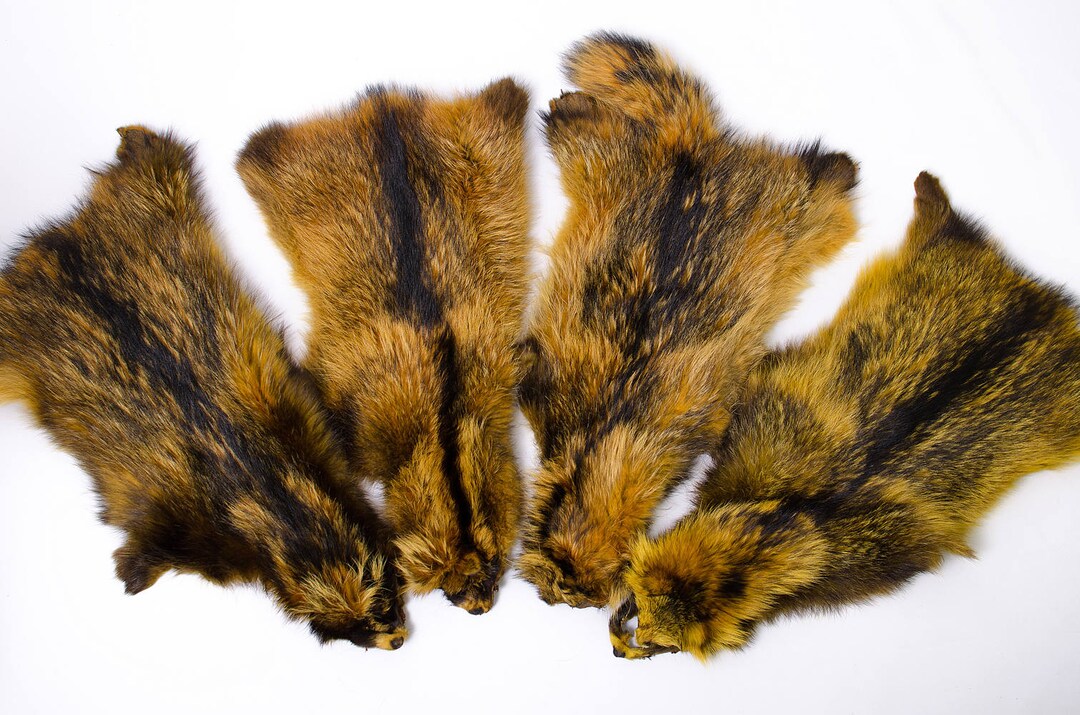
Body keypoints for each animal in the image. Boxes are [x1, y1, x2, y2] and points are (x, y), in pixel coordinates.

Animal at [0, 127, 407, 649]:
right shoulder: (190, 526)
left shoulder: (302, 419)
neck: (279, 502)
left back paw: (134, 139)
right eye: (352, 630)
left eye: (385, 587)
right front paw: (132, 573)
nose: (397, 638)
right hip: (17, 339)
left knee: (154, 161)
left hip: (153, 205)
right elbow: (151, 544)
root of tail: (52, 250)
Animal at [517, 33, 859, 608]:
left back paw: (839, 167)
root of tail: (693, 145)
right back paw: (570, 105)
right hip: (609, 164)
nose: (561, 596)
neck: (601, 438)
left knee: (818, 182)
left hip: (789, 211)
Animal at [611, 172, 1080, 660]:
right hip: (944, 257)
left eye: (666, 647)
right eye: (637, 600)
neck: (787, 516)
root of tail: (1041, 301)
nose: (619, 649)